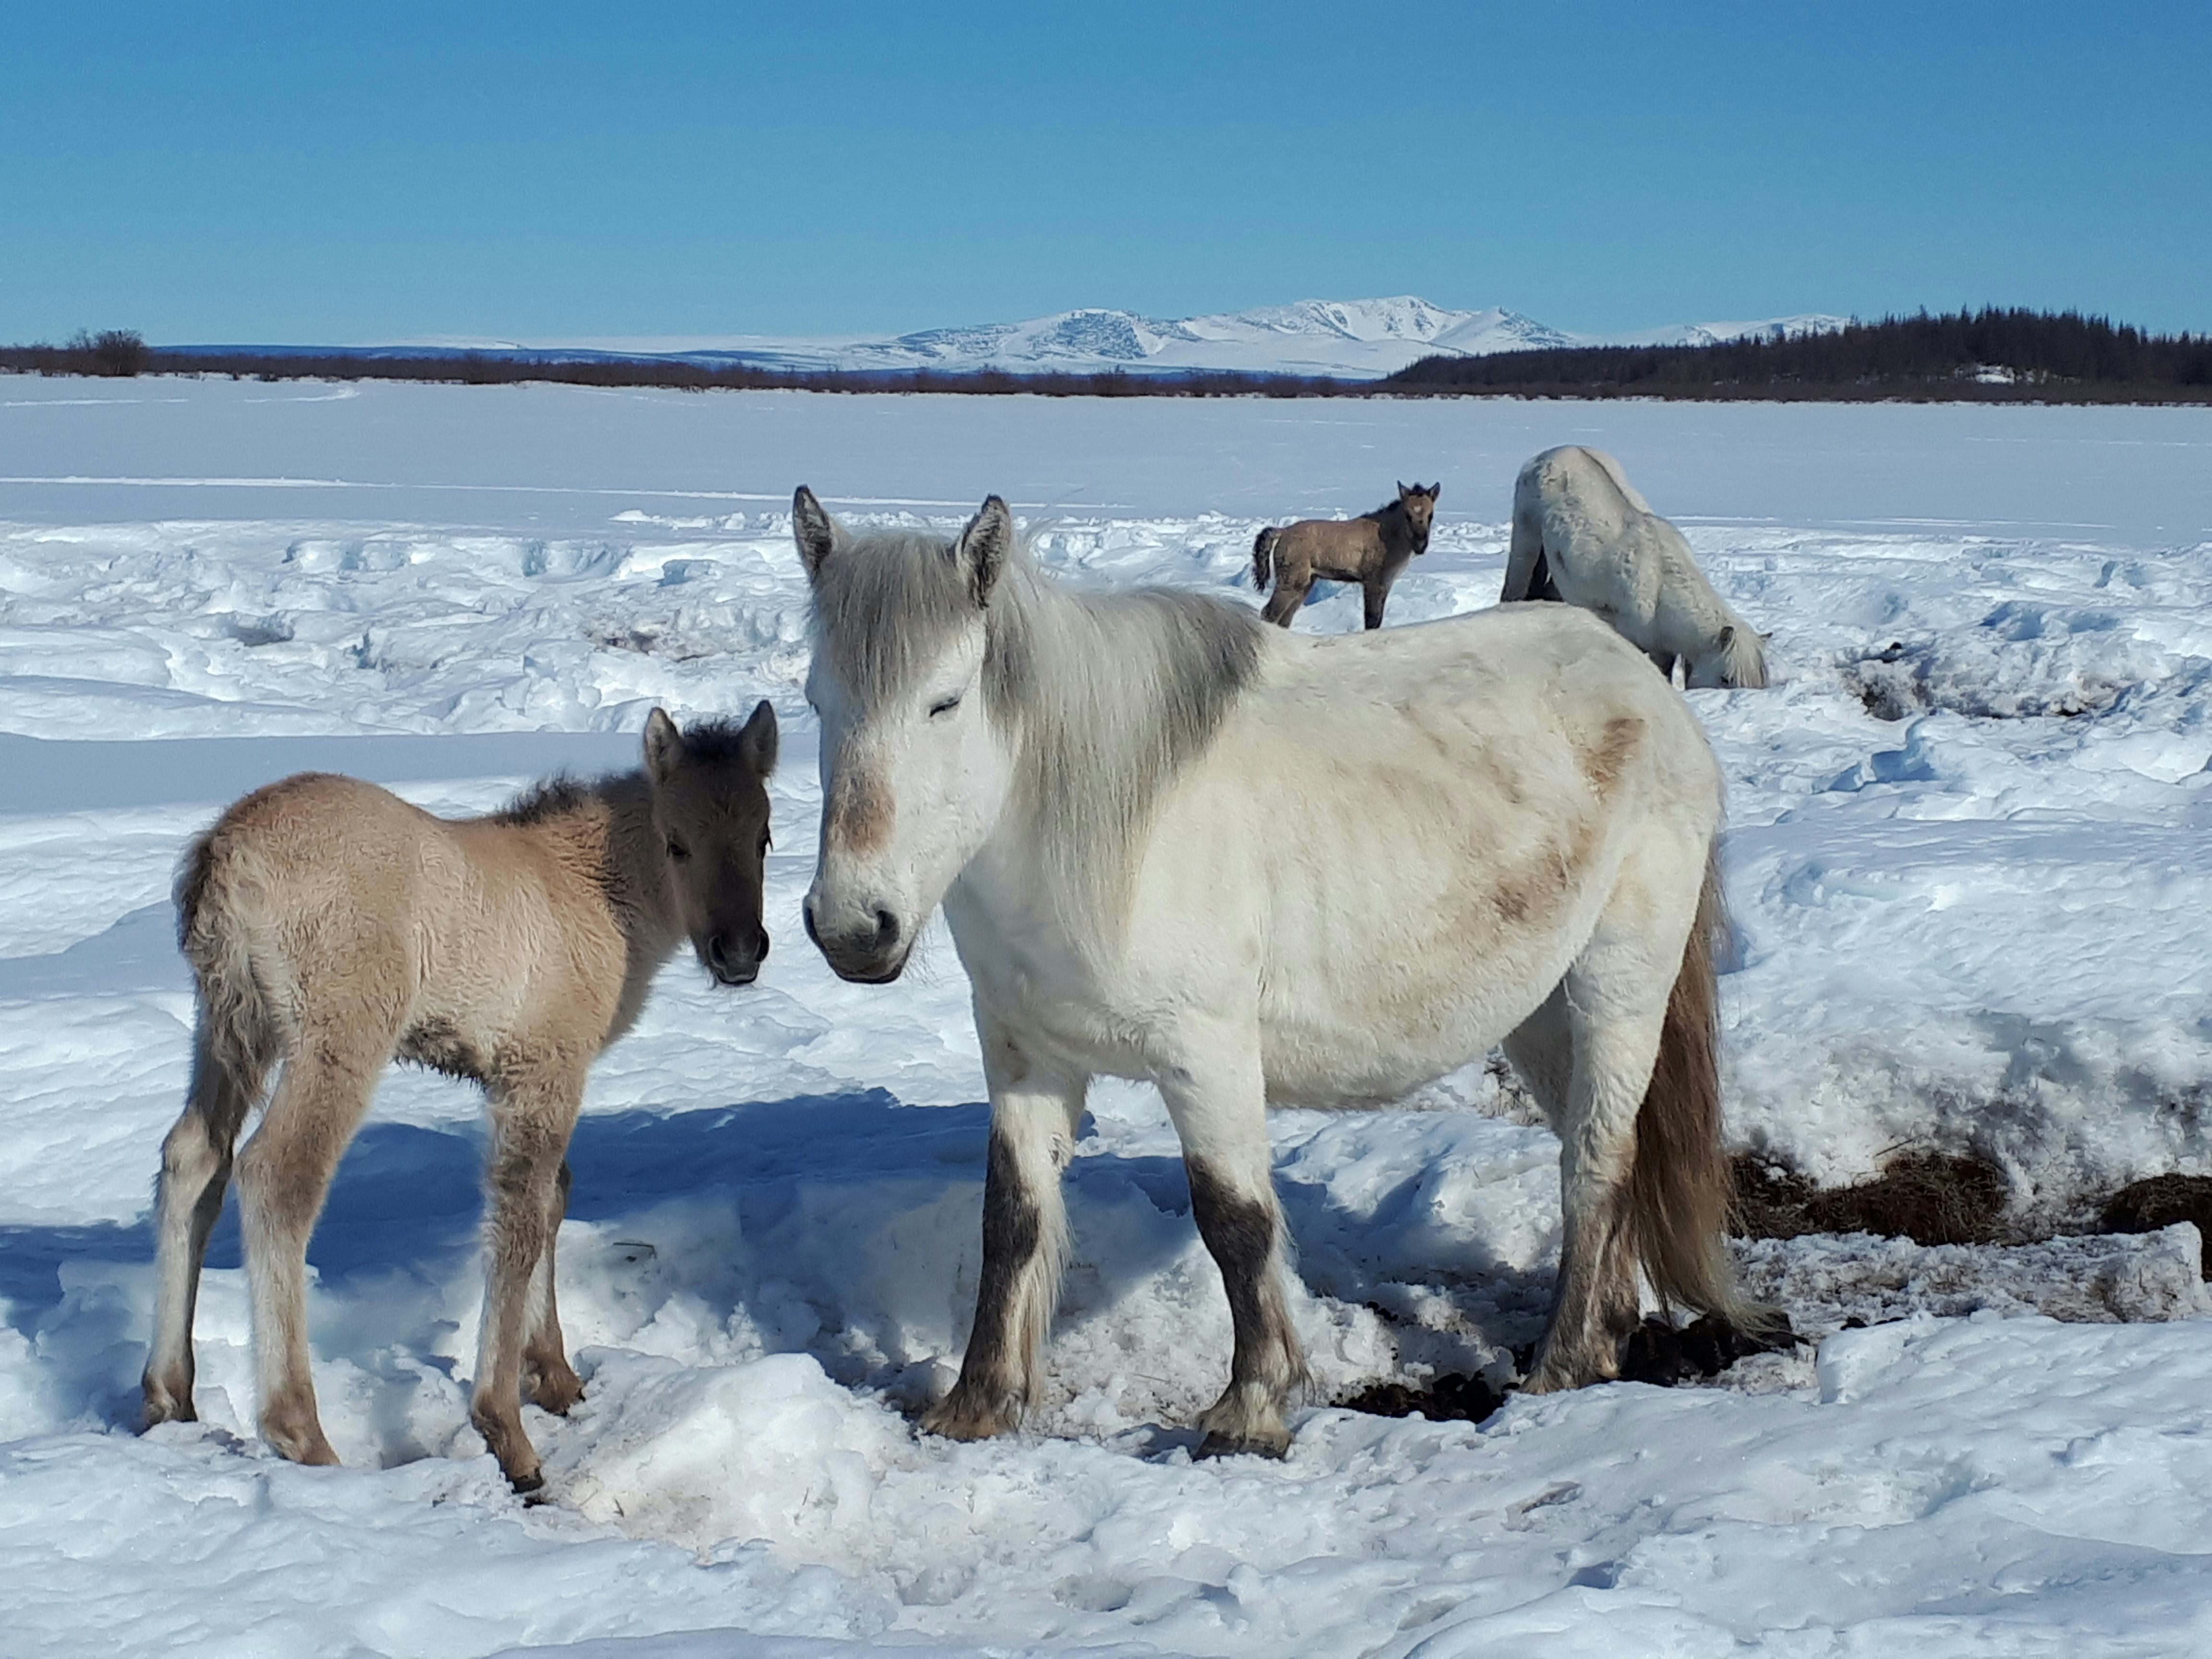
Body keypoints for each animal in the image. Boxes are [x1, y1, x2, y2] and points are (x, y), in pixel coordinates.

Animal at [140, 702, 778, 1492]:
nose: (740, 952)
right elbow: (519, 1219)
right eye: (677, 844)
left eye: (764, 835)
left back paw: (168, 1395)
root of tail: (225, 855)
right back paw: (301, 1433)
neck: (603, 896)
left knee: (194, 1158)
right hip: (338, 1036)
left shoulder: (517, 1077)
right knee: (278, 1176)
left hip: (230, 1028)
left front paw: (555, 1376)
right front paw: (508, 1432)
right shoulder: (544, 1069)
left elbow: (551, 1200)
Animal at [1251, 482, 1440, 630]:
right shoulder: (1372, 582)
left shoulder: (1386, 583)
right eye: (1408, 515)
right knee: (1269, 613)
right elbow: (1371, 620)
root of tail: (1283, 532)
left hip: (1306, 584)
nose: (1420, 546)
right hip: (1289, 582)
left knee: (1284, 619)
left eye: (1431, 515)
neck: (1388, 535)